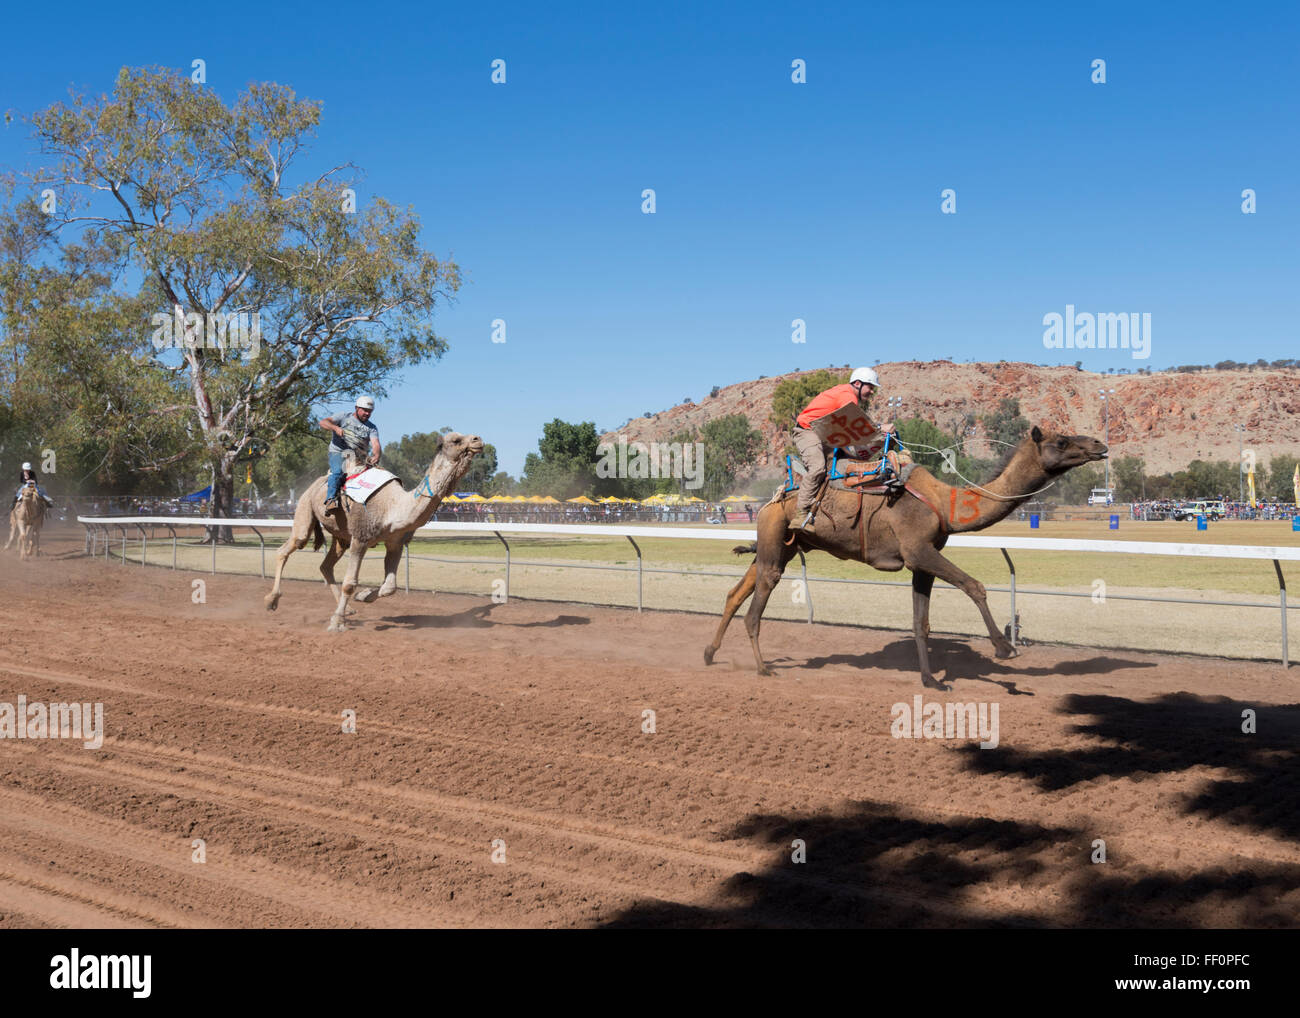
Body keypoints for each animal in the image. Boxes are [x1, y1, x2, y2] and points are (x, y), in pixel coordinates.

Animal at [264, 431, 484, 630]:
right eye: (456, 440)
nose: (478, 440)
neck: (392, 507)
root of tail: (317, 482)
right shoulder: (361, 538)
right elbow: (350, 583)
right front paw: (337, 623)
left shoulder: (395, 543)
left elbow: (390, 587)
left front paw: (362, 596)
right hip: (305, 509)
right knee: (289, 546)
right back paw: (271, 600)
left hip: (341, 537)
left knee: (326, 565)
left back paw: (348, 610)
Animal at [704, 426, 1108, 689]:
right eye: (1061, 440)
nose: (1100, 444)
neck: (947, 503)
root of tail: (770, 501)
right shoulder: (918, 549)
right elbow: (974, 586)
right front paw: (1004, 648)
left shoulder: (923, 562)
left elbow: (921, 622)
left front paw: (931, 680)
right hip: (774, 537)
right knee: (755, 607)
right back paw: (762, 669)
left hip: (781, 545)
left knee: (737, 592)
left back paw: (709, 653)